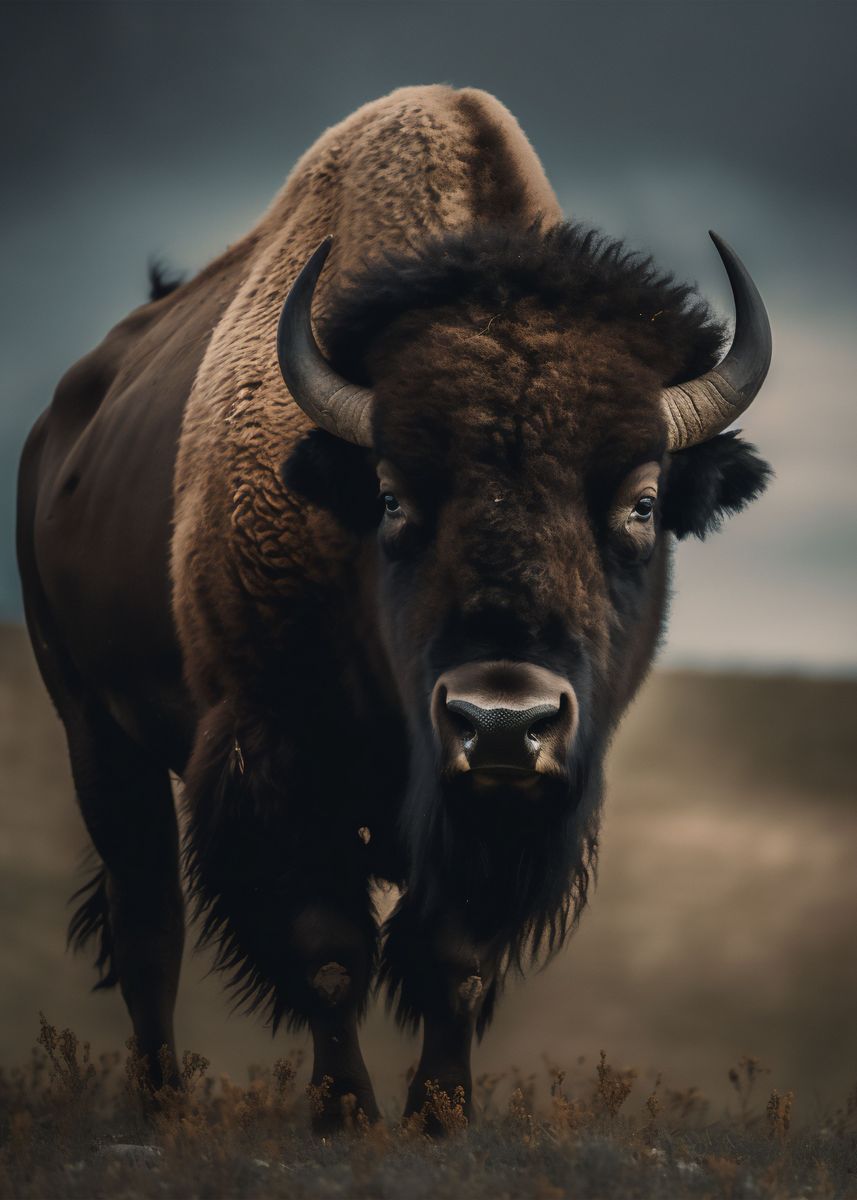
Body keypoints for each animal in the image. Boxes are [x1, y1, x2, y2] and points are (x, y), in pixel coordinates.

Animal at [16, 85, 772, 1130]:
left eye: (642, 504)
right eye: (391, 497)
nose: (503, 721)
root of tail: (58, 429)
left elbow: (454, 963)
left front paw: (438, 1119)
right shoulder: (276, 759)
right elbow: (328, 954)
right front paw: (345, 1114)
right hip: (95, 727)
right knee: (147, 925)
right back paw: (161, 1107)